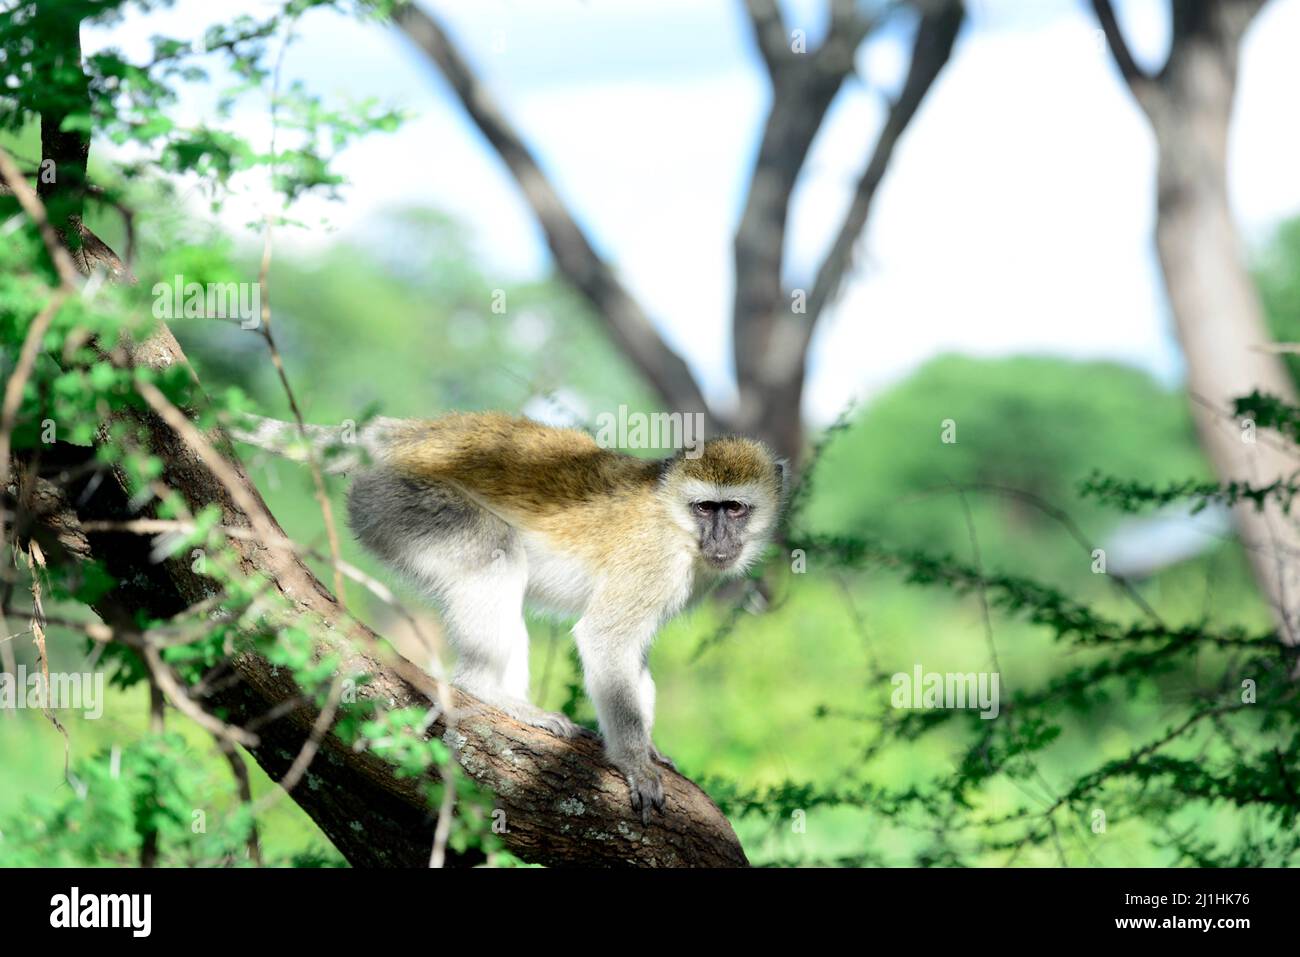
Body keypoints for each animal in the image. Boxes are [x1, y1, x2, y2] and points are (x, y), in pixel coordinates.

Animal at [233, 411, 785, 821]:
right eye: (706, 508)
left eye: (735, 509)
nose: (720, 540)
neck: (672, 517)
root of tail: (408, 432)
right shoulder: (653, 561)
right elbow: (606, 640)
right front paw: (633, 762)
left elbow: (634, 658)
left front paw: (649, 749)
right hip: (398, 501)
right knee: (492, 551)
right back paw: (488, 690)